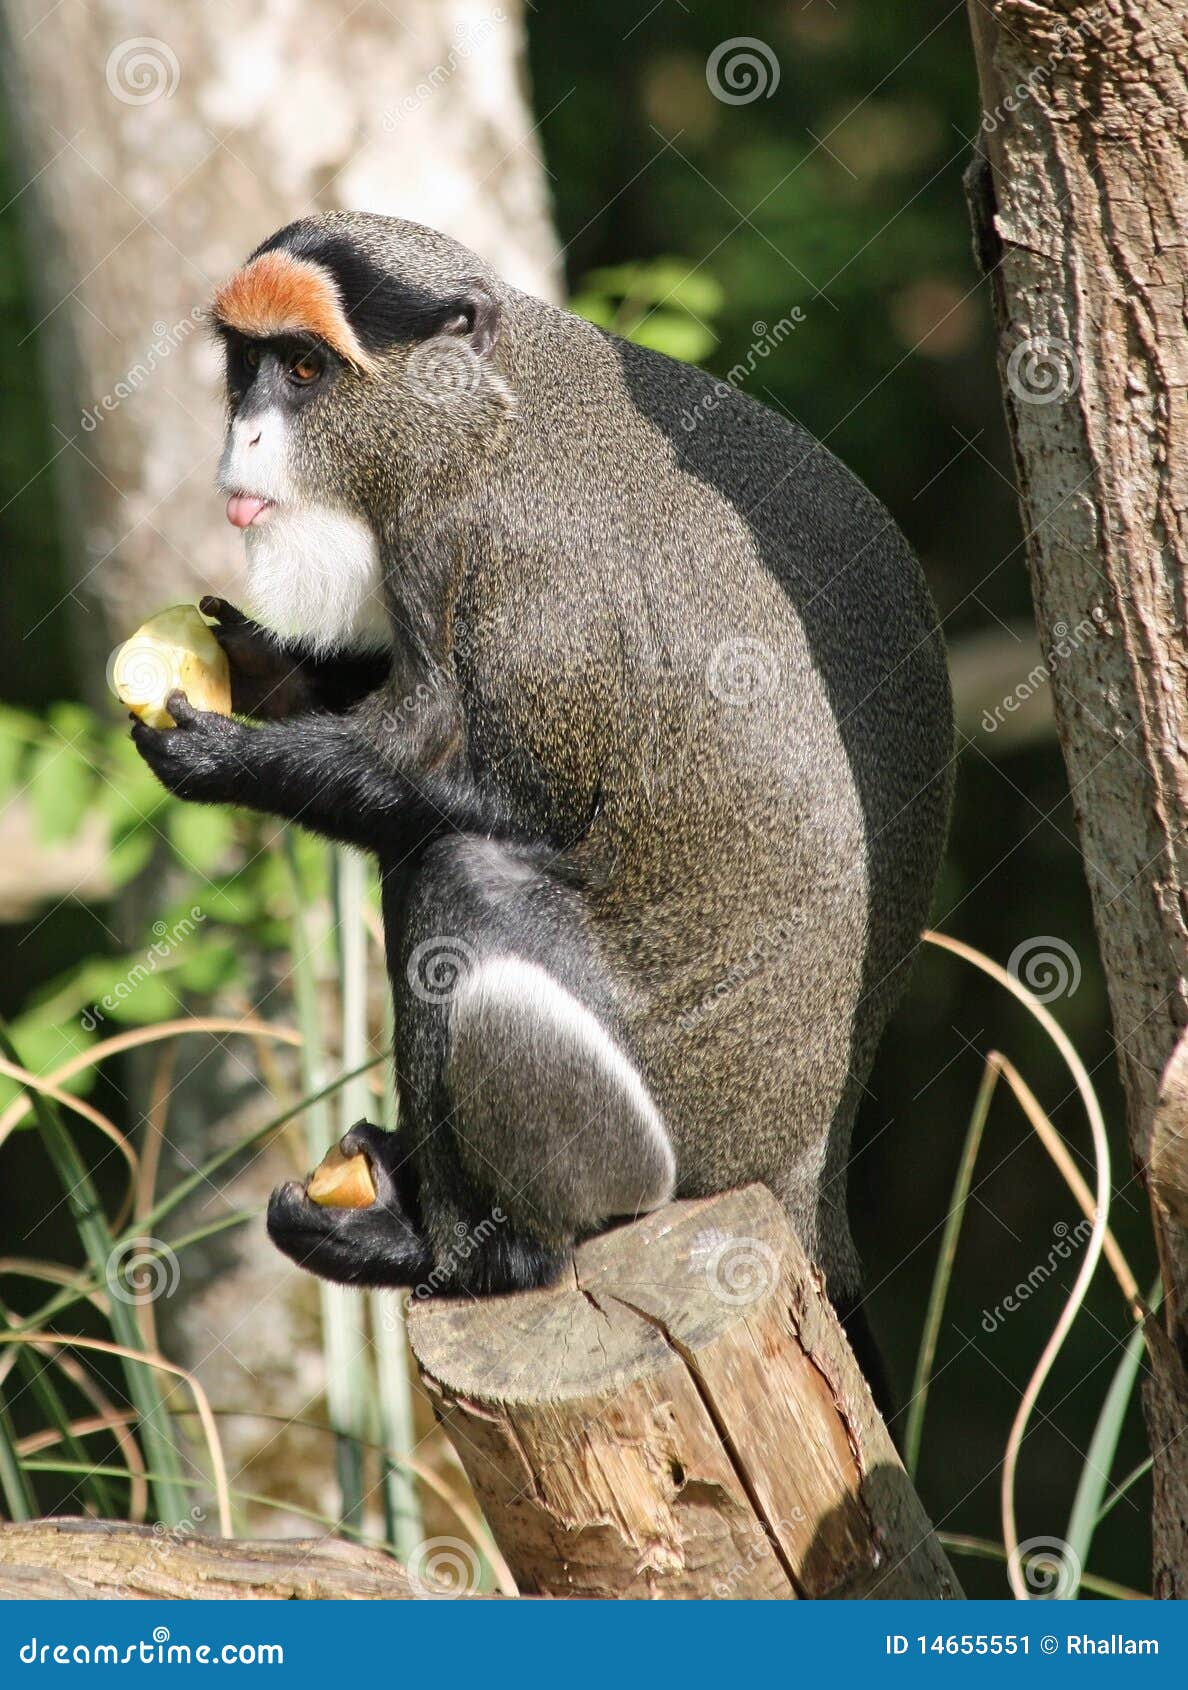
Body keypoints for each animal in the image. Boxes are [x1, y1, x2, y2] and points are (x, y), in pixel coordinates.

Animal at [132, 212, 953, 1389]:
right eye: (246, 364)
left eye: (305, 369)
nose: (241, 441)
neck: (487, 419)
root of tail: (809, 1174)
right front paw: (258, 667)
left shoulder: (497, 567)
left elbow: (487, 793)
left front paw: (223, 756)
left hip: (677, 1133)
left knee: (456, 878)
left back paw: (478, 1252)